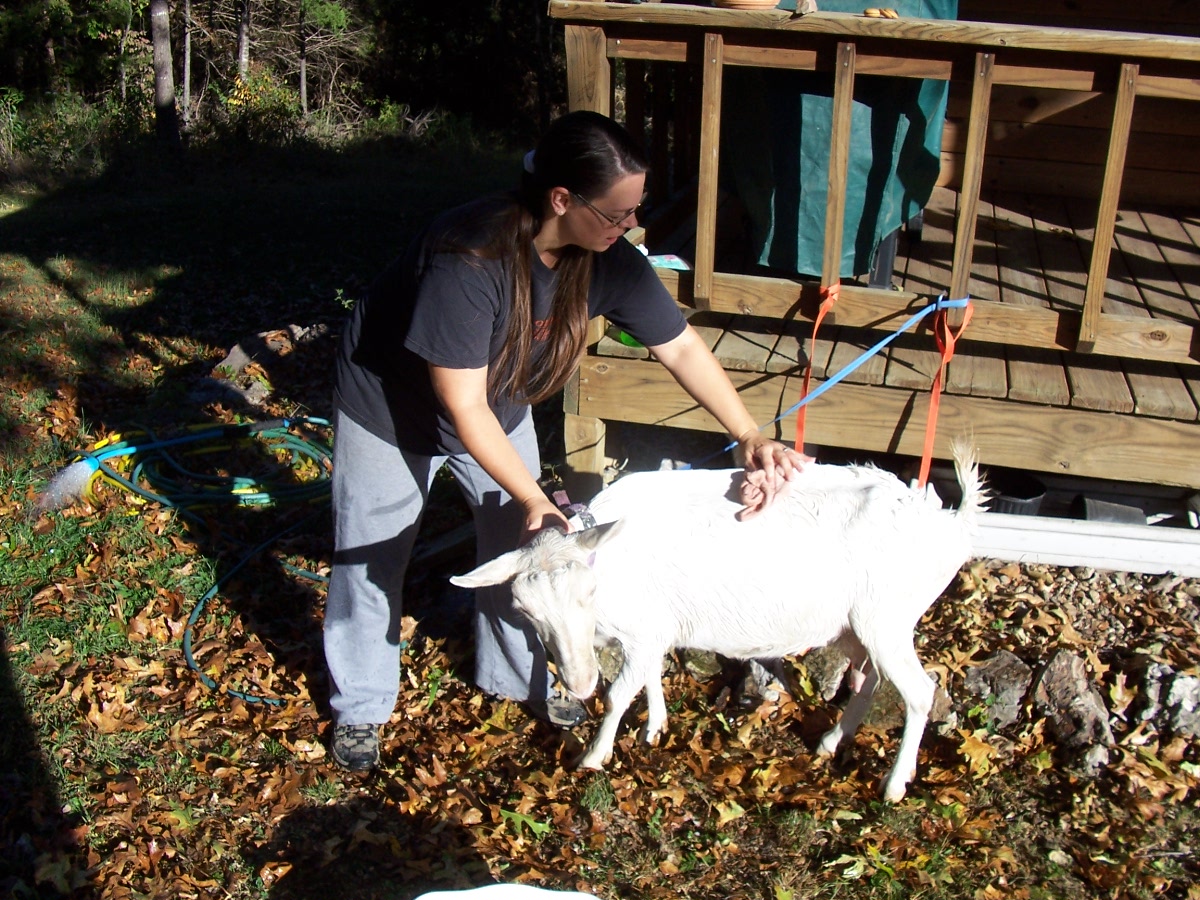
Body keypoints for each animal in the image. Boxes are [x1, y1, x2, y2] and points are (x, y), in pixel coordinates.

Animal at [451, 443, 986, 801]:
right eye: (525, 611)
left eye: (588, 591)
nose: (579, 683)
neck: (612, 561)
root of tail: (951, 524)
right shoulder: (654, 630)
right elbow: (649, 676)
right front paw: (655, 728)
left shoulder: (643, 628)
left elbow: (621, 692)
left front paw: (594, 755)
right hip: (864, 623)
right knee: (872, 680)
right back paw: (832, 742)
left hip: (887, 615)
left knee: (920, 692)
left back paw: (895, 783)